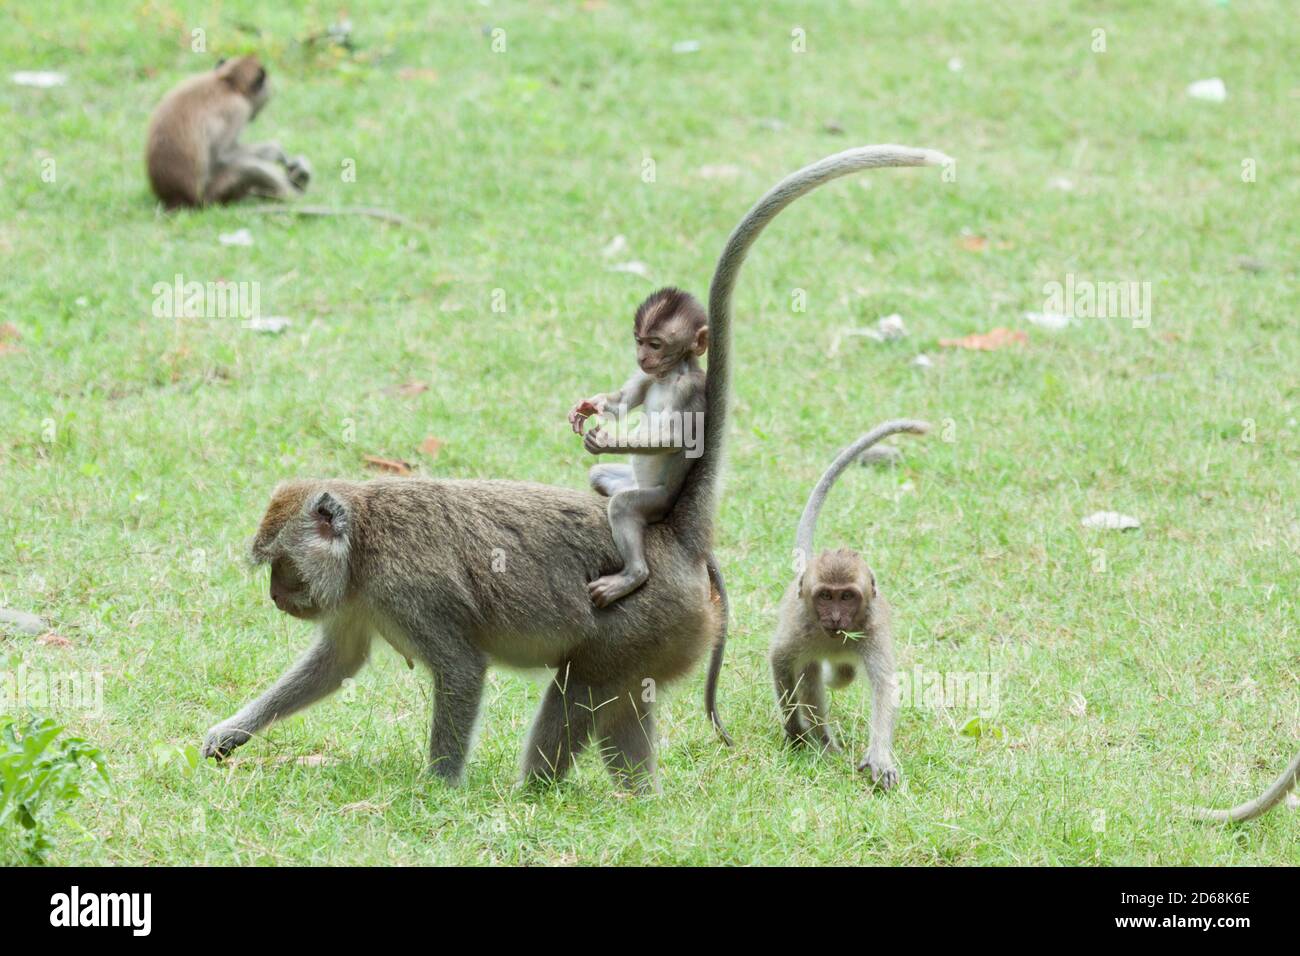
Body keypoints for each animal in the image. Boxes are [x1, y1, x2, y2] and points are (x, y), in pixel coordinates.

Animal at [146, 55, 311, 209]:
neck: (227, 84)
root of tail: (175, 198)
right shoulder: (238, 109)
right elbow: (223, 156)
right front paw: (275, 151)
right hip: (210, 196)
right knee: (250, 168)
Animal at [567, 287, 708, 608]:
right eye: (639, 340)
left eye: (656, 344)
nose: (642, 356)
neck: (669, 375)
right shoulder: (647, 375)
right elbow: (622, 402)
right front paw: (588, 406)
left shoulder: (690, 389)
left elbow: (675, 437)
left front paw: (606, 441)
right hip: (627, 480)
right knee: (601, 478)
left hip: (657, 500)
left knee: (623, 506)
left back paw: (633, 574)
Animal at [769, 419, 930, 790]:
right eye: (826, 596)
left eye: (846, 596)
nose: (835, 617)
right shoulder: (799, 625)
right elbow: (781, 663)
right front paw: (795, 732)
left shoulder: (872, 628)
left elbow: (884, 686)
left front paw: (880, 757)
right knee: (810, 675)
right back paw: (823, 741)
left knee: (841, 673)